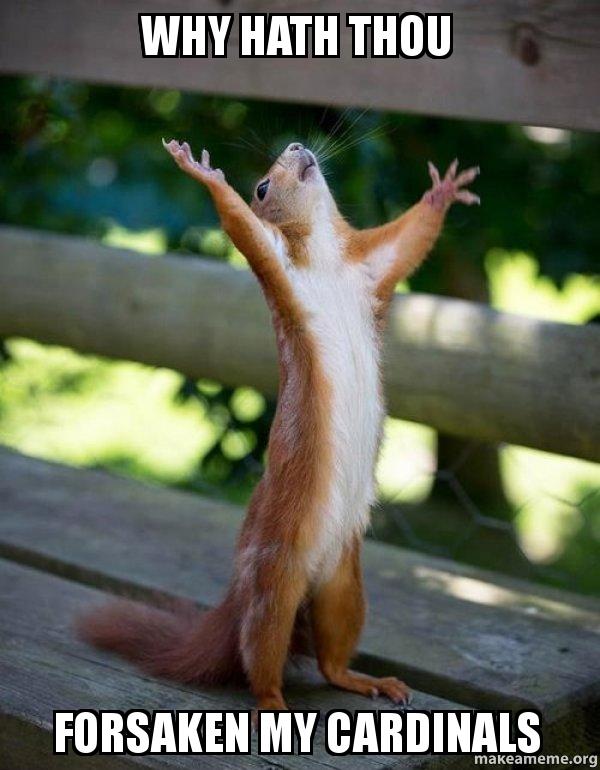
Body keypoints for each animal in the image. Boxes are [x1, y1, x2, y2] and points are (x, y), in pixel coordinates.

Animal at [79, 138, 479, 712]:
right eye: (262, 187)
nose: (296, 146)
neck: (327, 258)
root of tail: (239, 596)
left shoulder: (371, 267)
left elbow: (410, 240)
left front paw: (442, 191)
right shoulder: (276, 264)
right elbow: (241, 226)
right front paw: (204, 174)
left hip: (344, 586)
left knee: (331, 658)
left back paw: (365, 679)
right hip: (275, 581)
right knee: (260, 654)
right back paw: (273, 703)